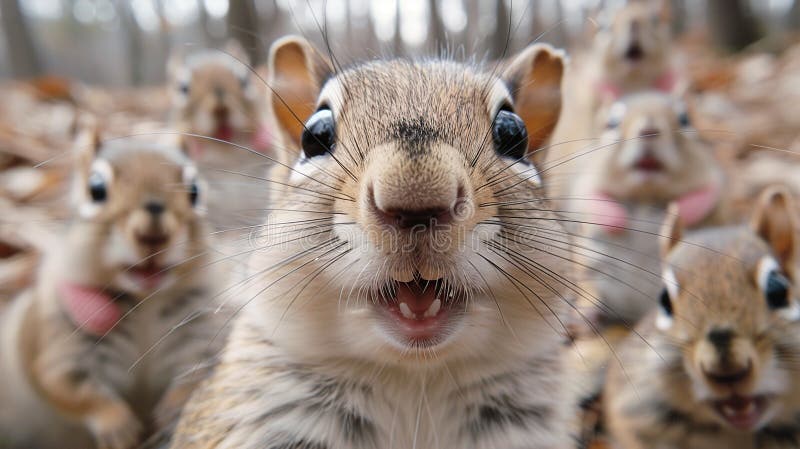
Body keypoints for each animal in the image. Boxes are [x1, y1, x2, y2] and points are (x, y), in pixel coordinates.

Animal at [0, 121, 228, 449]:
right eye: (95, 189)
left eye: (195, 190)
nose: (153, 235)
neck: (145, 299)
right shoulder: (63, 340)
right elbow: (67, 386)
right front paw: (117, 424)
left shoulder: (198, 328)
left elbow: (197, 373)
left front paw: (173, 409)